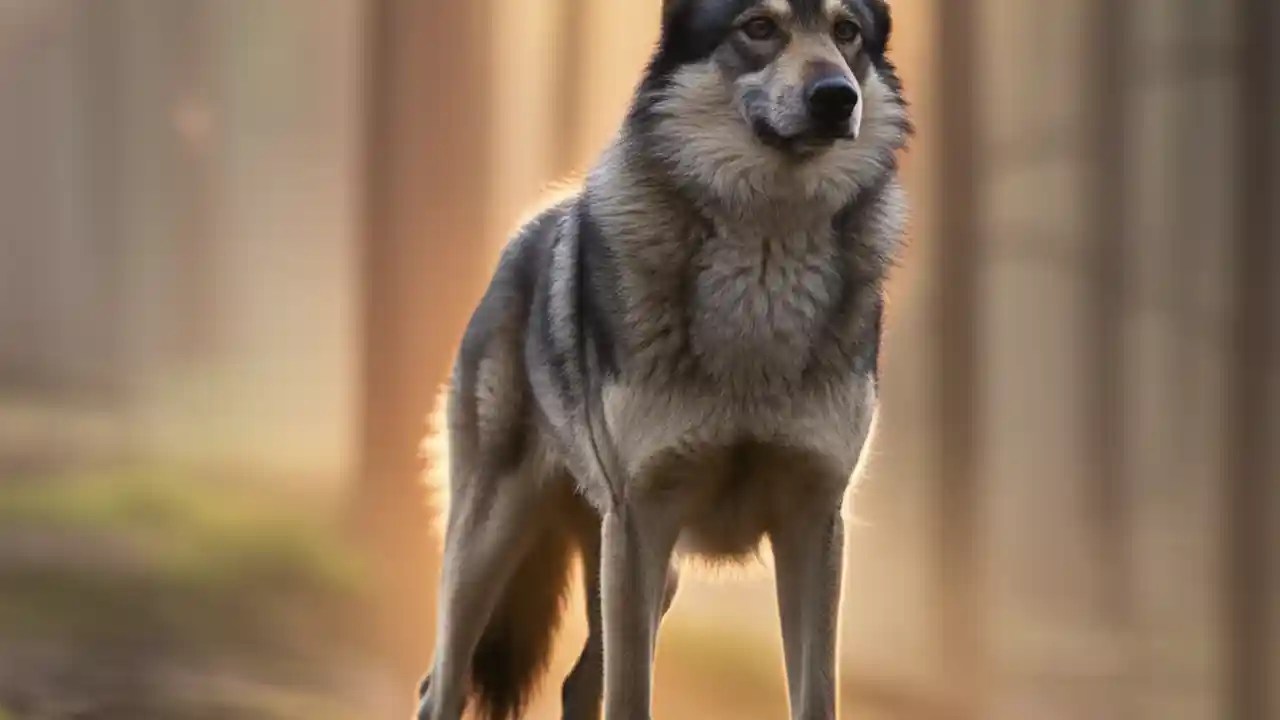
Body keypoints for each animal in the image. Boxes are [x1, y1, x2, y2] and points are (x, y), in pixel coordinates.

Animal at [416, 1, 911, 718]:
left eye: (848, 33)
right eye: (759, 27)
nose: (835, 97)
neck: (763, 268)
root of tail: (526, 233)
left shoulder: (814, 523)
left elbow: (815, 695)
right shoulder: (641, 522)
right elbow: (631, 697)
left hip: (648, 571)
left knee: (575, 684)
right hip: (493, 543)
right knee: (441, 685)